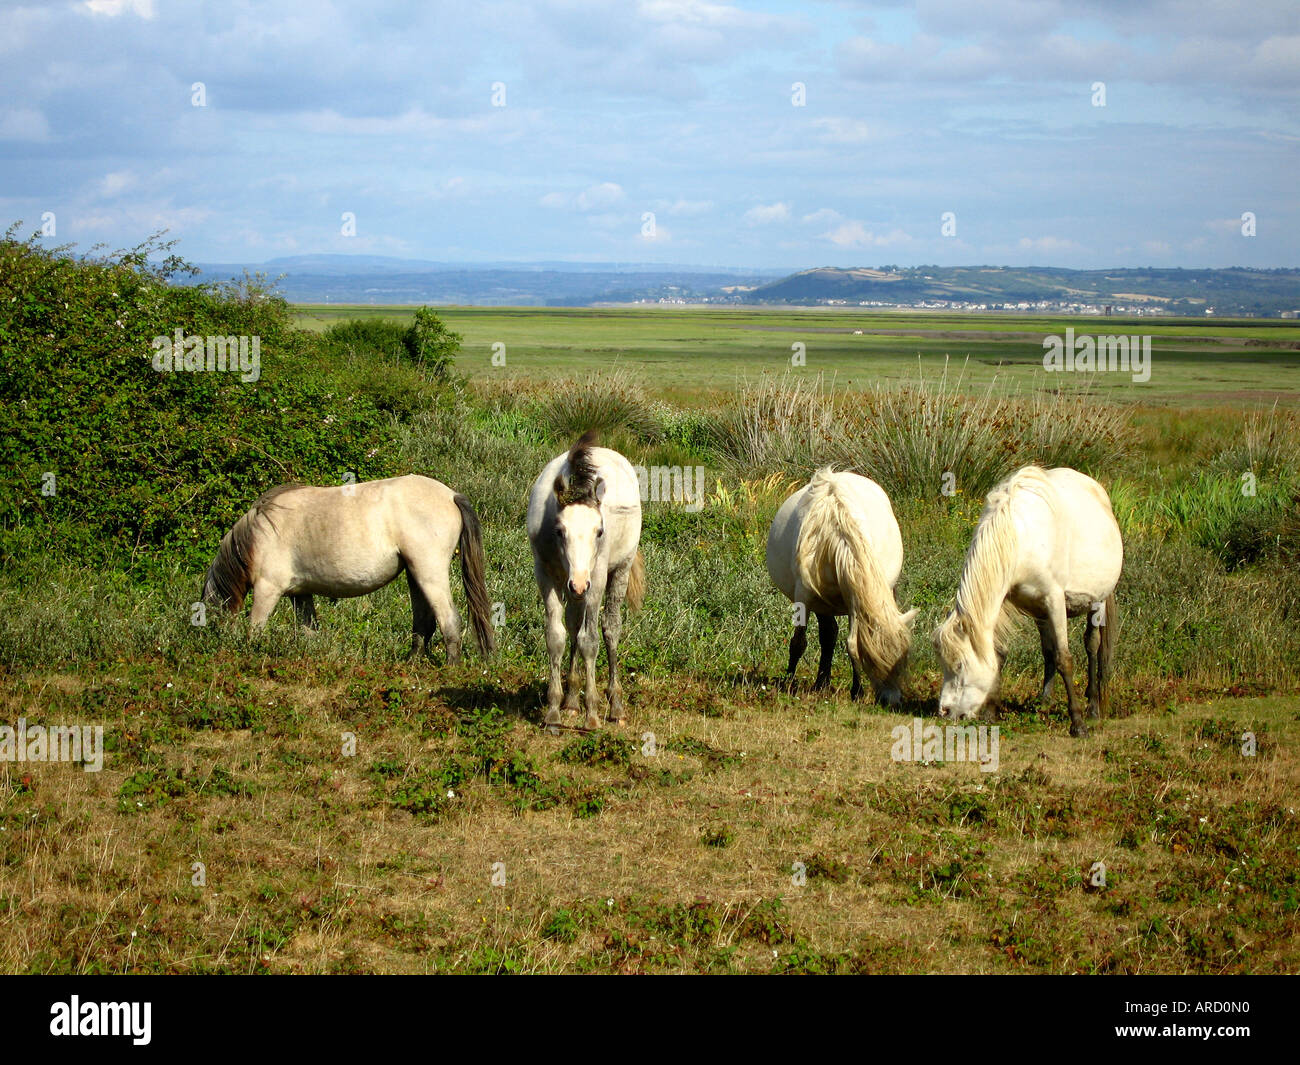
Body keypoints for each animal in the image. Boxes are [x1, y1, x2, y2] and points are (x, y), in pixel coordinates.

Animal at [202, 475, 496, 663]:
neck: (259, 534)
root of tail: (451, 495)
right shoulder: (300, 595)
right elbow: (309, 632)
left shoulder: (268, 588)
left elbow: (255, 627)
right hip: (415, 575)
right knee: (424, 622)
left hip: (429, 572)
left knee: (449, 619)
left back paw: (451, 666)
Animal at [527, 430, 645, 730]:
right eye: (559, 531)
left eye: (599, 531)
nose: (579, 583)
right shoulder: (547, 575)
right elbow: (556, 636)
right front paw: (554, 710)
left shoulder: (596, 579)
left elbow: (590, 640)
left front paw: (591, 713)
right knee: (573, 626)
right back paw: (570, 701)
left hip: (618, 571)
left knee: (610, 628)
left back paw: (615, 706)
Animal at [766, 468, 917, 704]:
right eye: (875, 663)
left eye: (903, 662)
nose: (891, 701)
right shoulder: (805, 596)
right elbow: (798, 642)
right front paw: (787, 682)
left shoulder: (855, 601)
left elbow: (853, 644)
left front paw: (857, 691)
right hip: (821, 602)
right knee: (828, 635)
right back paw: (821, 683)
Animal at [932, 465, 1122, 737]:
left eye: (959, 665)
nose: (945, 712)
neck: (1018, 535)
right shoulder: (1010, 599)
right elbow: (1001, 655)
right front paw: (990, 712)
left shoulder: (1055, 600)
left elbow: (1065, 659)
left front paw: (1077, 723)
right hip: (1041, 612)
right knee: (1048, 651)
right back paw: (1043, 702)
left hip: (1098, 601)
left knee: (1092, 645)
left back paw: (1093, 707)